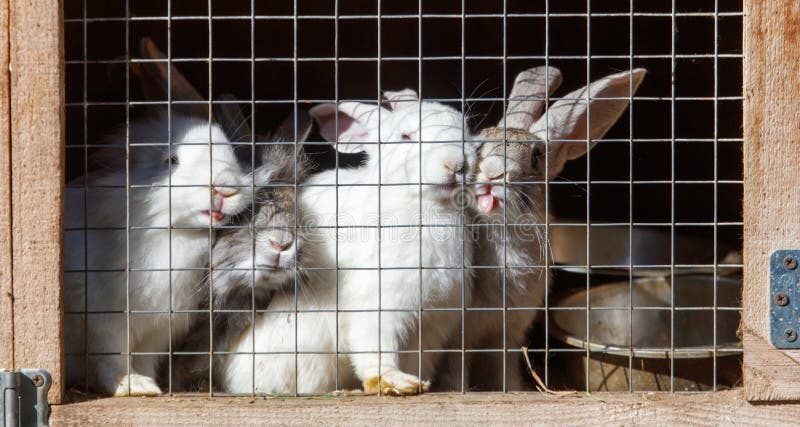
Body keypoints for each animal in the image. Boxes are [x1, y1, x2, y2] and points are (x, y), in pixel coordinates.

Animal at [63, 38, 251, 396]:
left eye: (232, 153)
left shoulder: (161, 327)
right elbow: (113, 356)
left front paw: (154, 385)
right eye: (171, 160)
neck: (171, 233)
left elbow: (147, 357)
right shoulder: (104, 318)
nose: (225, 188)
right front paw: (132, 386)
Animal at [217, 90, 479, 396]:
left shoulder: (433, 324)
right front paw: (396, 383)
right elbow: (376, 351)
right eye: (406, 136)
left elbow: (418, 358)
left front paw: (417, 383)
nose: (457, 164)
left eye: (465, 131)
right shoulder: (379, 306)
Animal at [434, 66, 647, 391]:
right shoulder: (458, 341)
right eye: (478, 146)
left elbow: (504, 373)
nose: (493, 173)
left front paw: (511, 391)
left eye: (536, 156)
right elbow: (455, 375)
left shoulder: (506, 337)